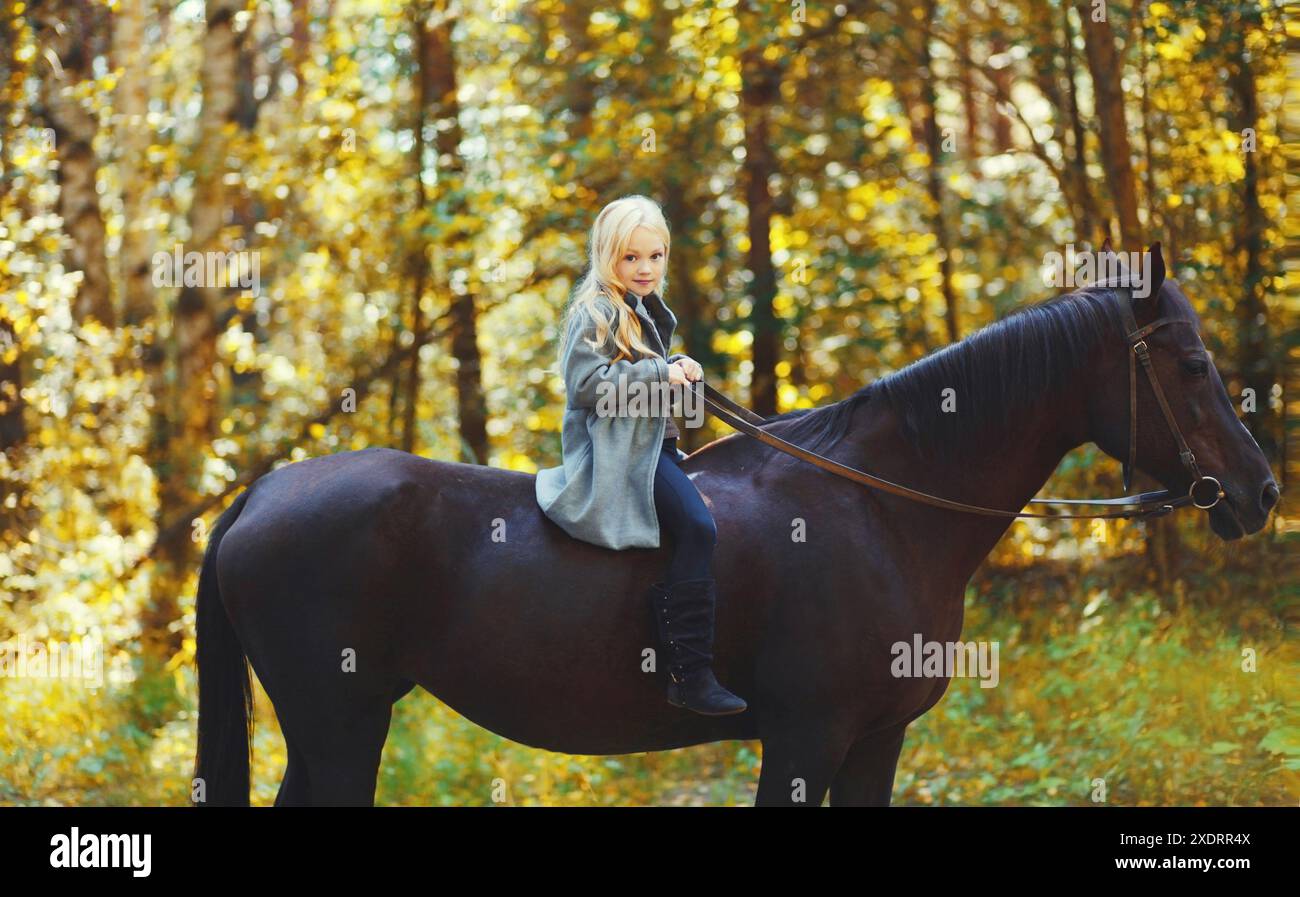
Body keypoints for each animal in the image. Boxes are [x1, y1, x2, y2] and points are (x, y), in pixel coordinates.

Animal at [193, 250, 1277, 806]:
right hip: (339, 726)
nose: (1260, 491)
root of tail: (257, 494)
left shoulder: (874, 742)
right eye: (1187, 362)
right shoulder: (805, 737)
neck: (885, 508)